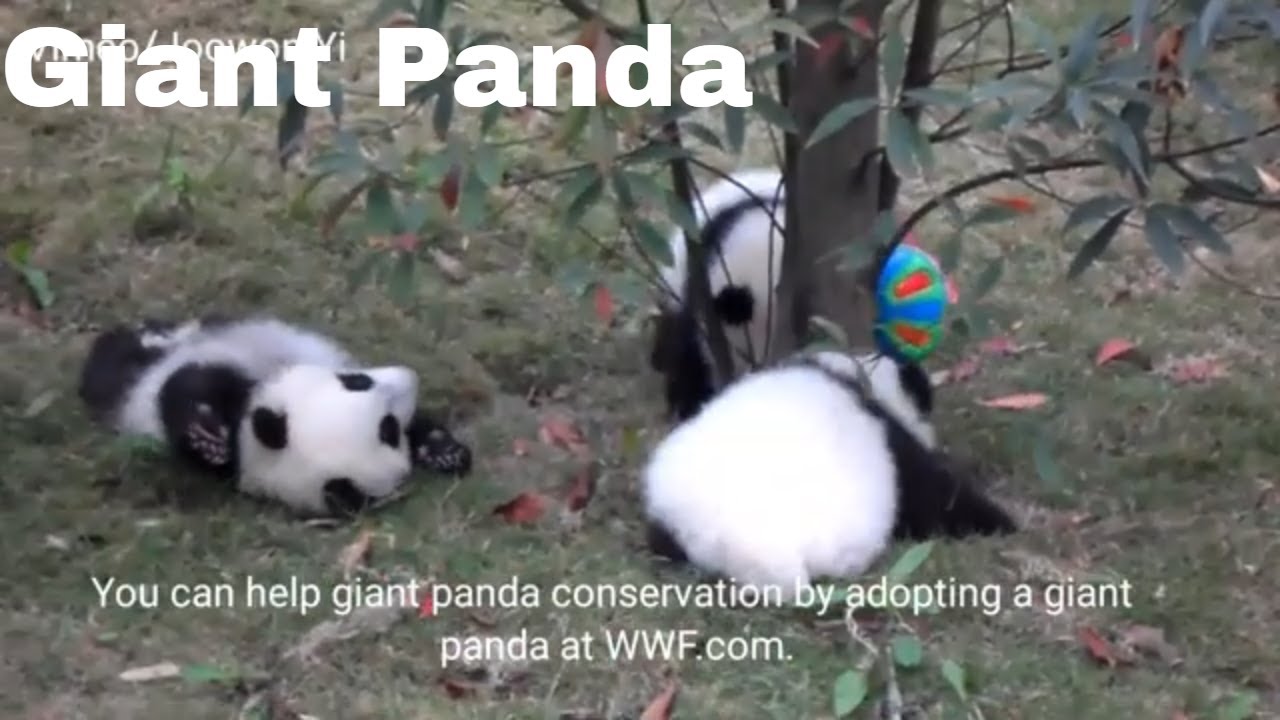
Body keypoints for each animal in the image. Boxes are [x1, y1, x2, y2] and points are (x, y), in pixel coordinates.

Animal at [77, 314, 472, 518]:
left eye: (391, 430)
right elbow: (187, 386)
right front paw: (206, 437)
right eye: (355, 381)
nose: (410, 377)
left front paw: (443, 449)